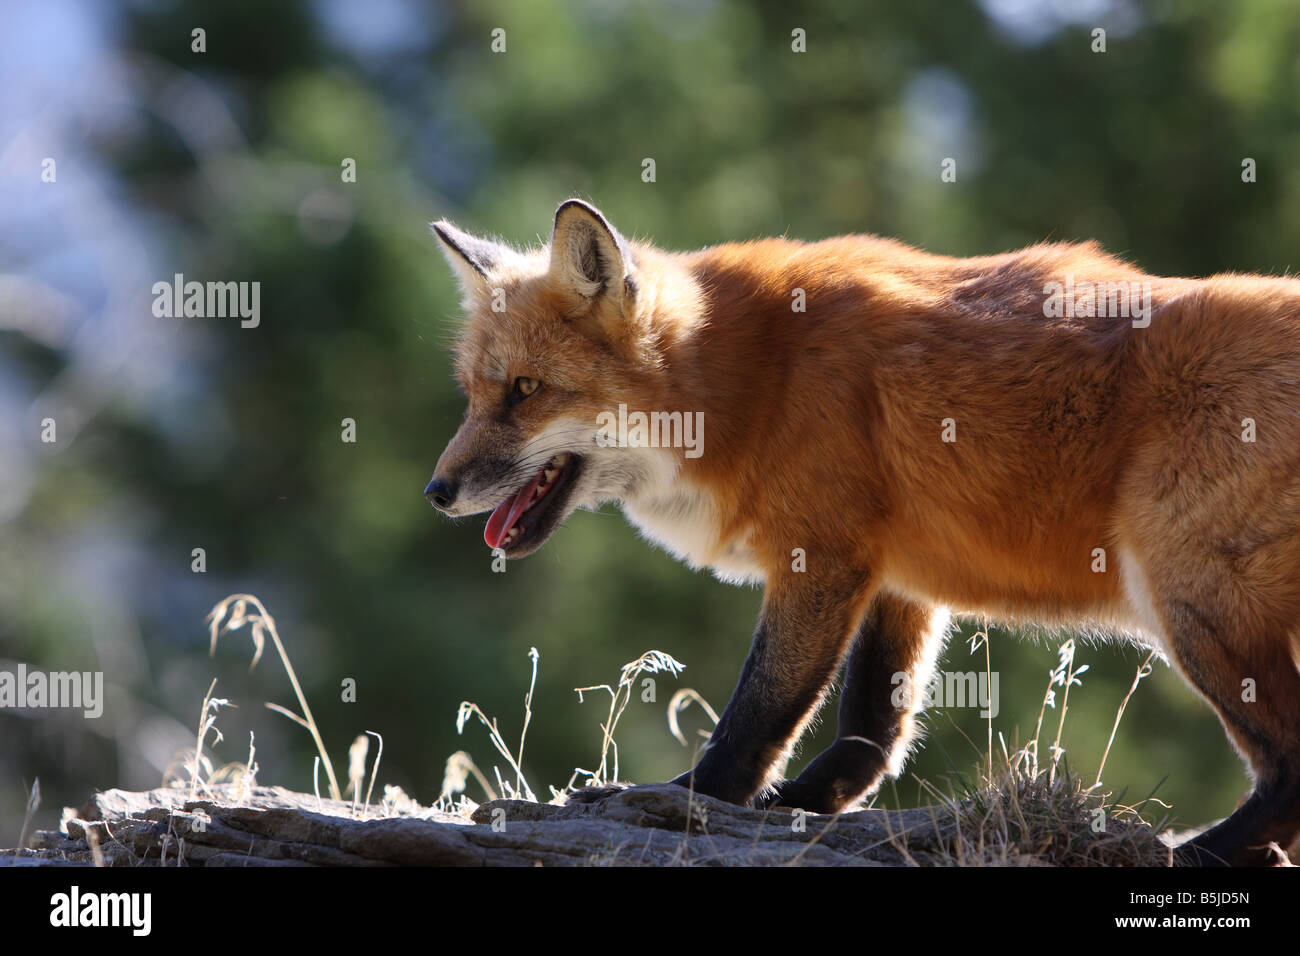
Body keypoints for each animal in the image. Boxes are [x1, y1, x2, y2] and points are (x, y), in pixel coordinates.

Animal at [425, 198, 1300, 866]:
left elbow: (761, 709)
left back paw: (1199, 855)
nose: (437, 493)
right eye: (472, 393)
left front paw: (686, 800)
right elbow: (871, 730)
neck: (754, 382)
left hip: (1185, 597)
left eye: (525, 391)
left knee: (1290, 767)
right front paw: (802, 806)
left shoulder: (821, 558)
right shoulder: (897, 576)